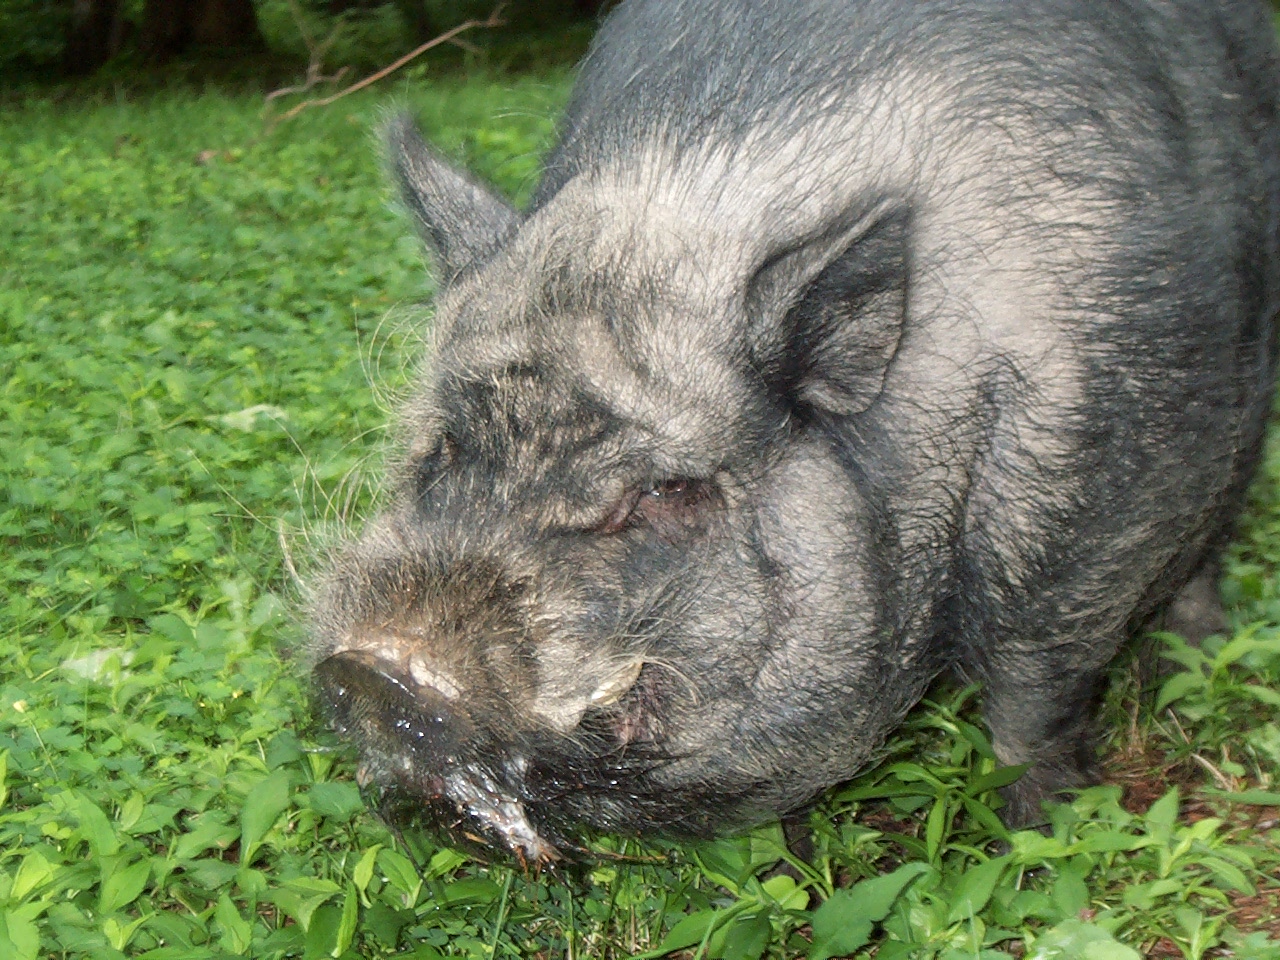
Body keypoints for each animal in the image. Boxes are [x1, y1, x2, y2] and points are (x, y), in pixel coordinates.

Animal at [308, 0, 1280, 865]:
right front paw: (793, 872)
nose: (377, 664)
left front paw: (1042, 851)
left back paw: (1196, 659)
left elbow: (1030, 709)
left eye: (667, 490)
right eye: (446, 447)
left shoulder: (1081, 531)